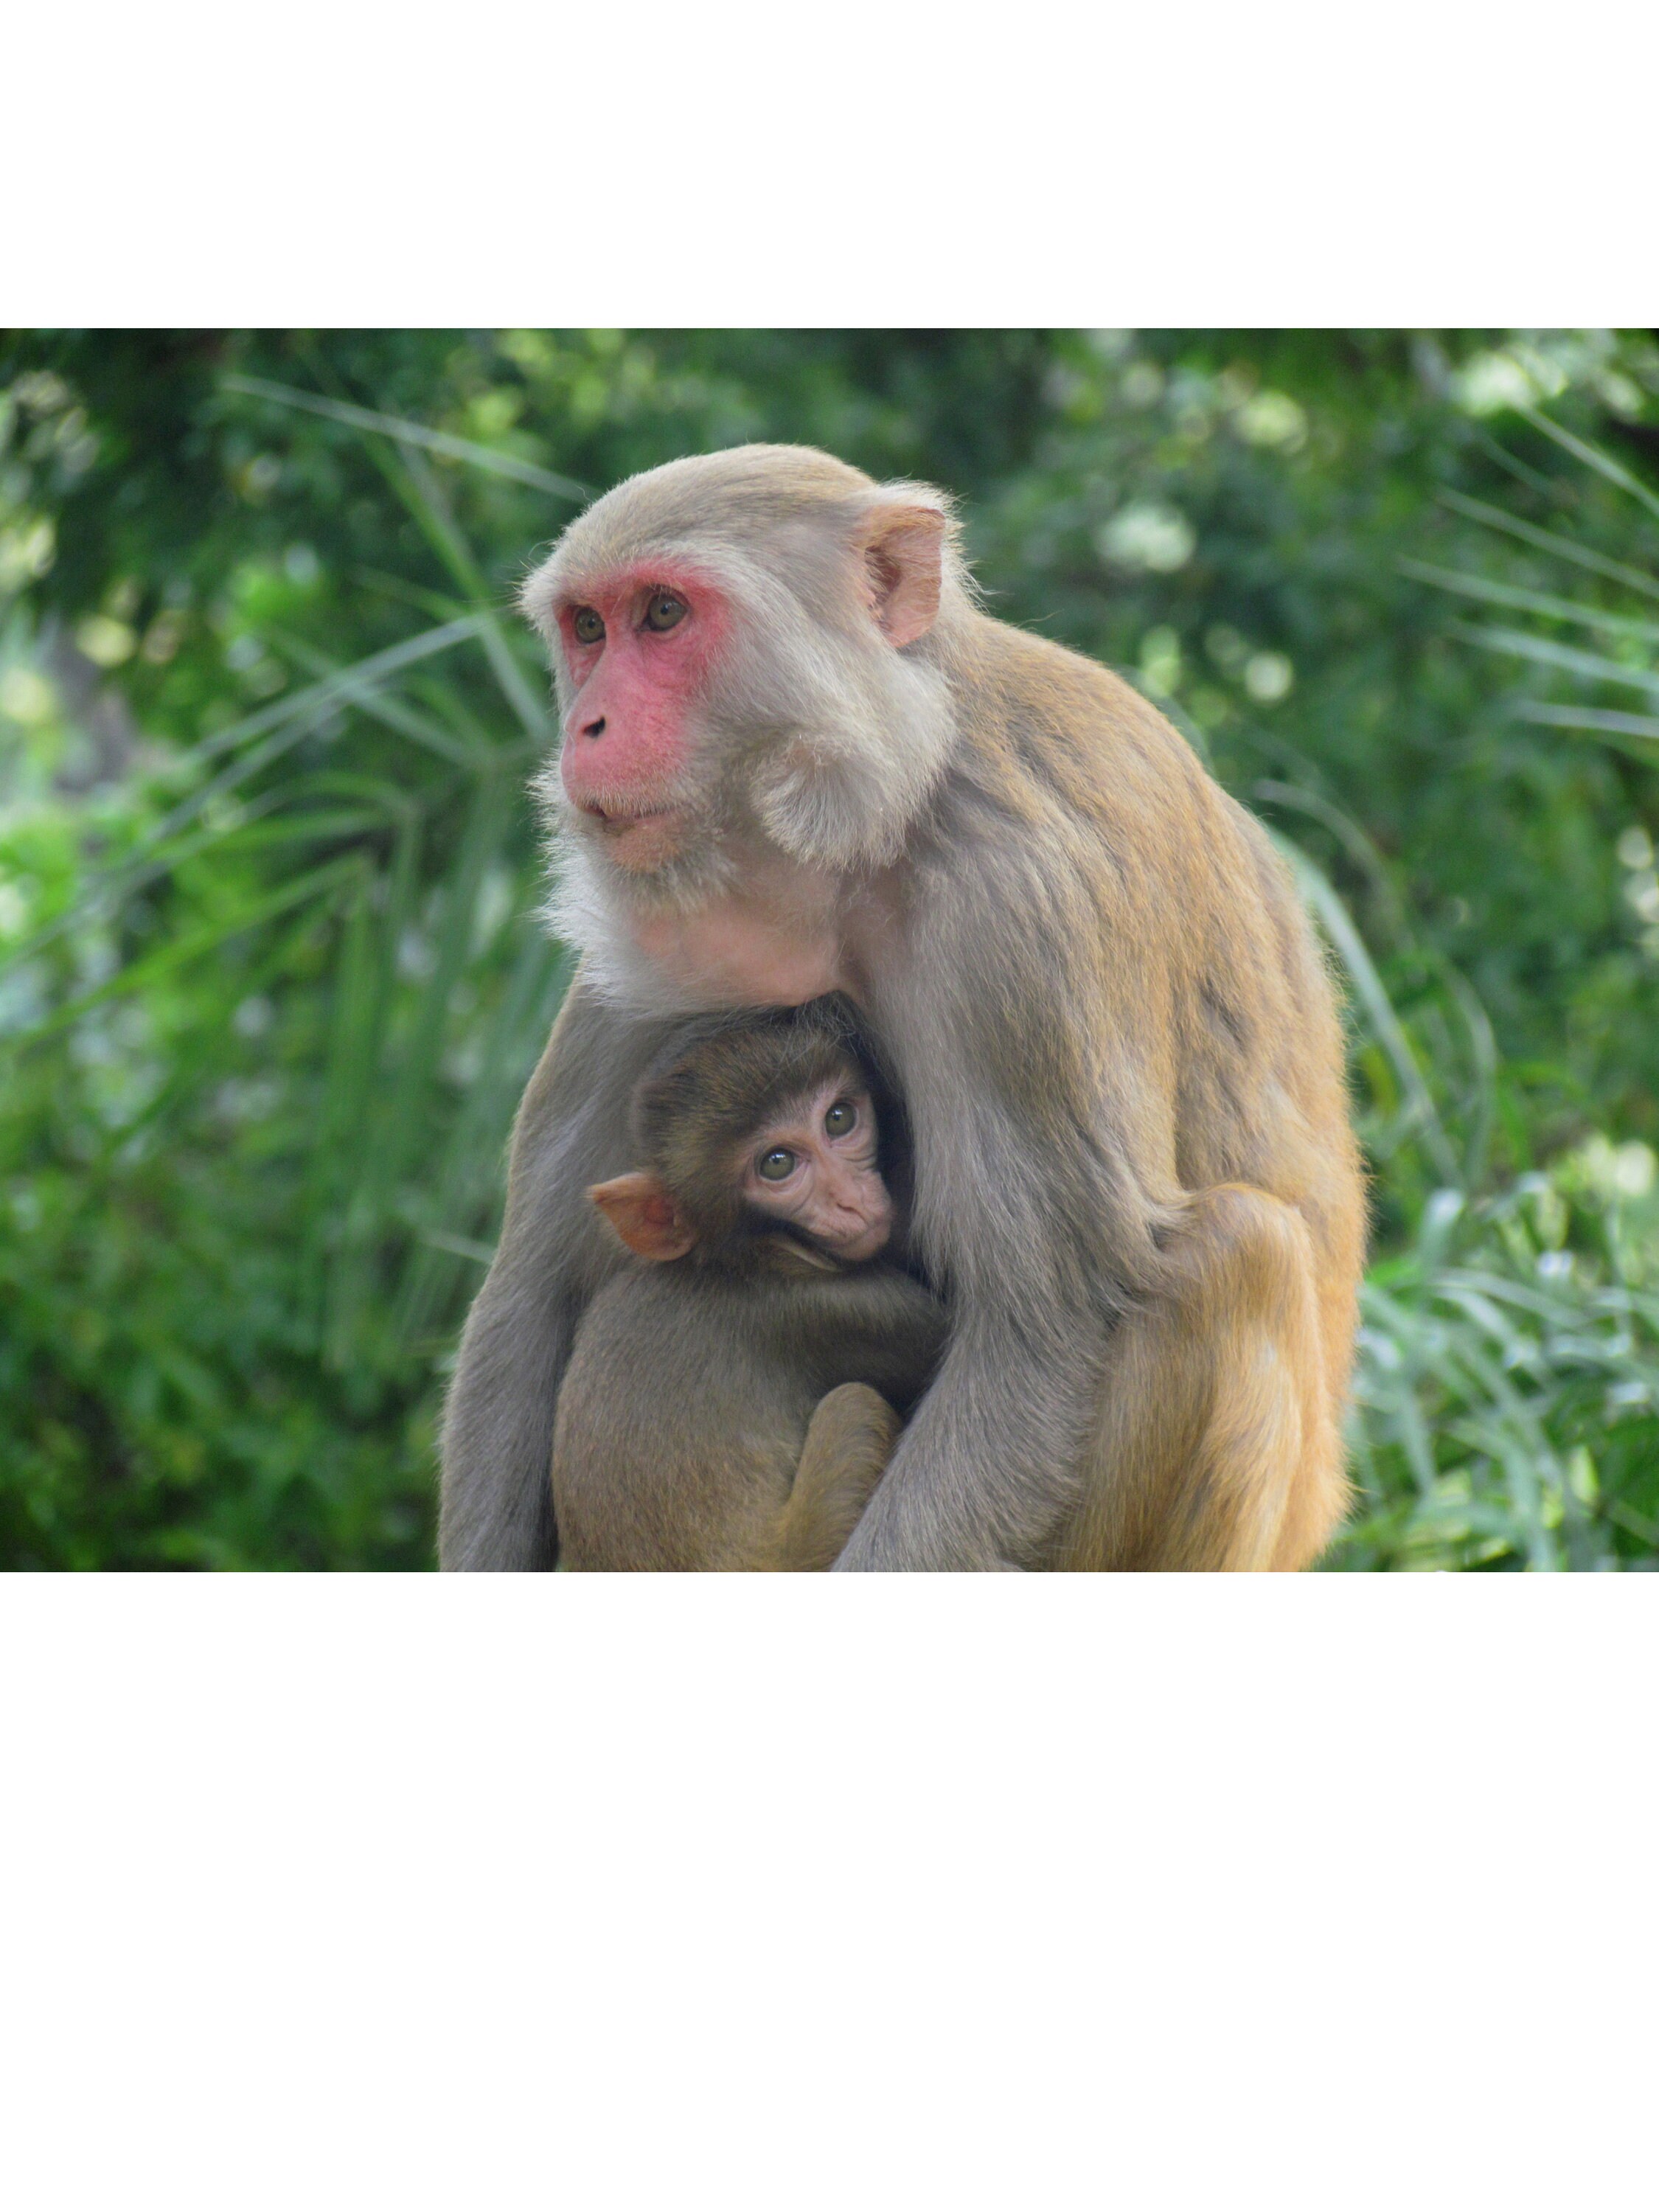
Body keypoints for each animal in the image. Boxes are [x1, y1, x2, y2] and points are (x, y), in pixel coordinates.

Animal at [550, 998, 947, 1570]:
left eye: (839, 1119)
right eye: (777, 1164)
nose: (851, 1199)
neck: (740, 1261)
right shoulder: (830, 1311)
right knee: (853, 1406)